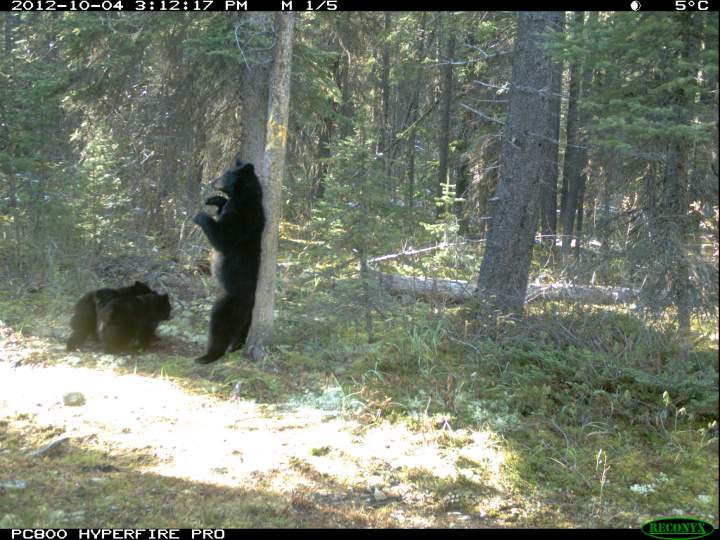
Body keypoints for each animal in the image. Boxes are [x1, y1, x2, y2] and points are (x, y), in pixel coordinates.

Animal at [193, 157, 265, 364]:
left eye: (224, 175)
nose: (212, 181)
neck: (243, 196)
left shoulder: (242, 216)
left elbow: (224, 237)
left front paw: (201, 214)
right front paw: (215, 200)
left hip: (231, 299)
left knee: (220, 323)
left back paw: (208, 355)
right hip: (246, 313)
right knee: (243, 328)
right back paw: (236, 346)